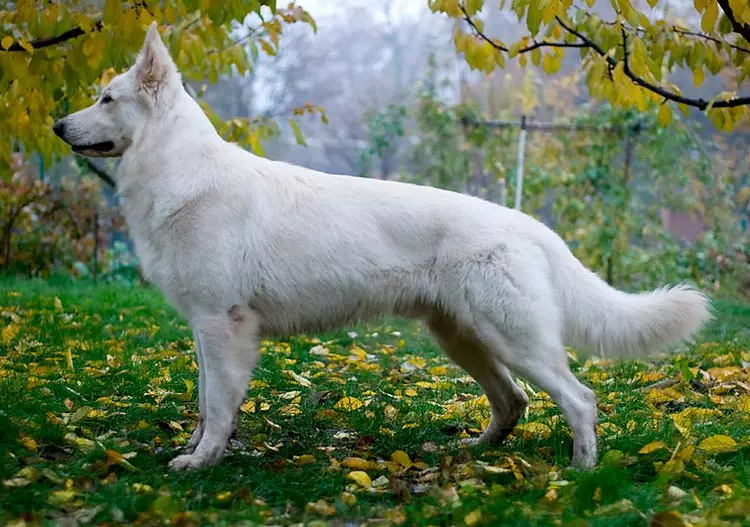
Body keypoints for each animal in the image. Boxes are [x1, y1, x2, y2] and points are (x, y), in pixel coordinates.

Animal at [53, 24, 712, 472]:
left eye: (106, 98)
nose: (59, 127)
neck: (180, 172)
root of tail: (529, 224)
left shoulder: (222, 325)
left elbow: (218, 404)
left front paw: (204, 461)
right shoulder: (203, 328)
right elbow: (202, 398)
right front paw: (197, 449)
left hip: (513, 339)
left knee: (579, 398)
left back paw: (581, 472)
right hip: (465, 340)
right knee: (514, 401)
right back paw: (472, 453)